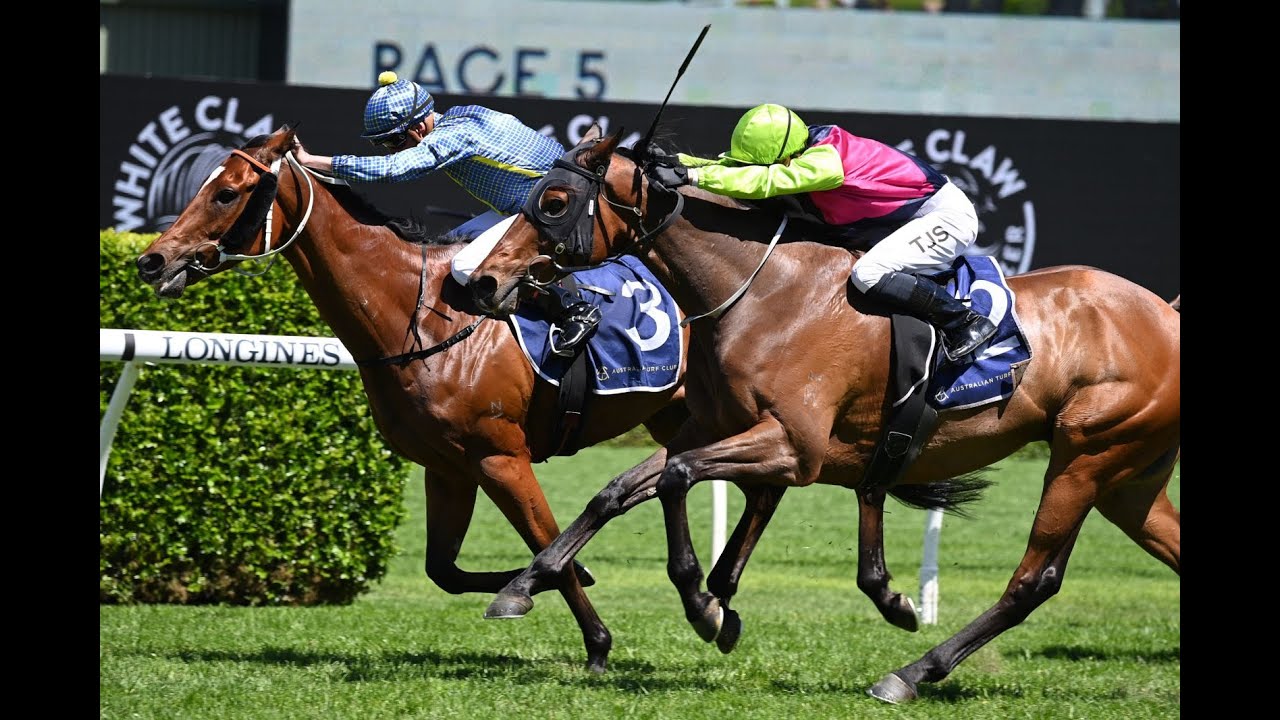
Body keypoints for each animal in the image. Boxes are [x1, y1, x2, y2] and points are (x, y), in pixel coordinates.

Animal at [131, 124, 952, 675]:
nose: (151, 260)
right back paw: (724, 601)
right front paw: (572, 582)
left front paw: (592, 635)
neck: (419, 316)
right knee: (765, 485)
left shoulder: (501, 454)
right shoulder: (446, 466)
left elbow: (541, 543)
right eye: (203, 184)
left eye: (227, 192)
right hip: (700, 412)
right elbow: (445, 569)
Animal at [467, 126, 1181, 703]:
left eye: (554, 203)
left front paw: (703, 604)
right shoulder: (716, 426)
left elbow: (678, 478)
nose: (482, 283)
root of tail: (1166, 313)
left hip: (1087, 455)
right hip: (1129, 477)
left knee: (1034, 581)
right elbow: (618, 490)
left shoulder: (795, 446)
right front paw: (524, 584)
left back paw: (910, 674)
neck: (763, 290)